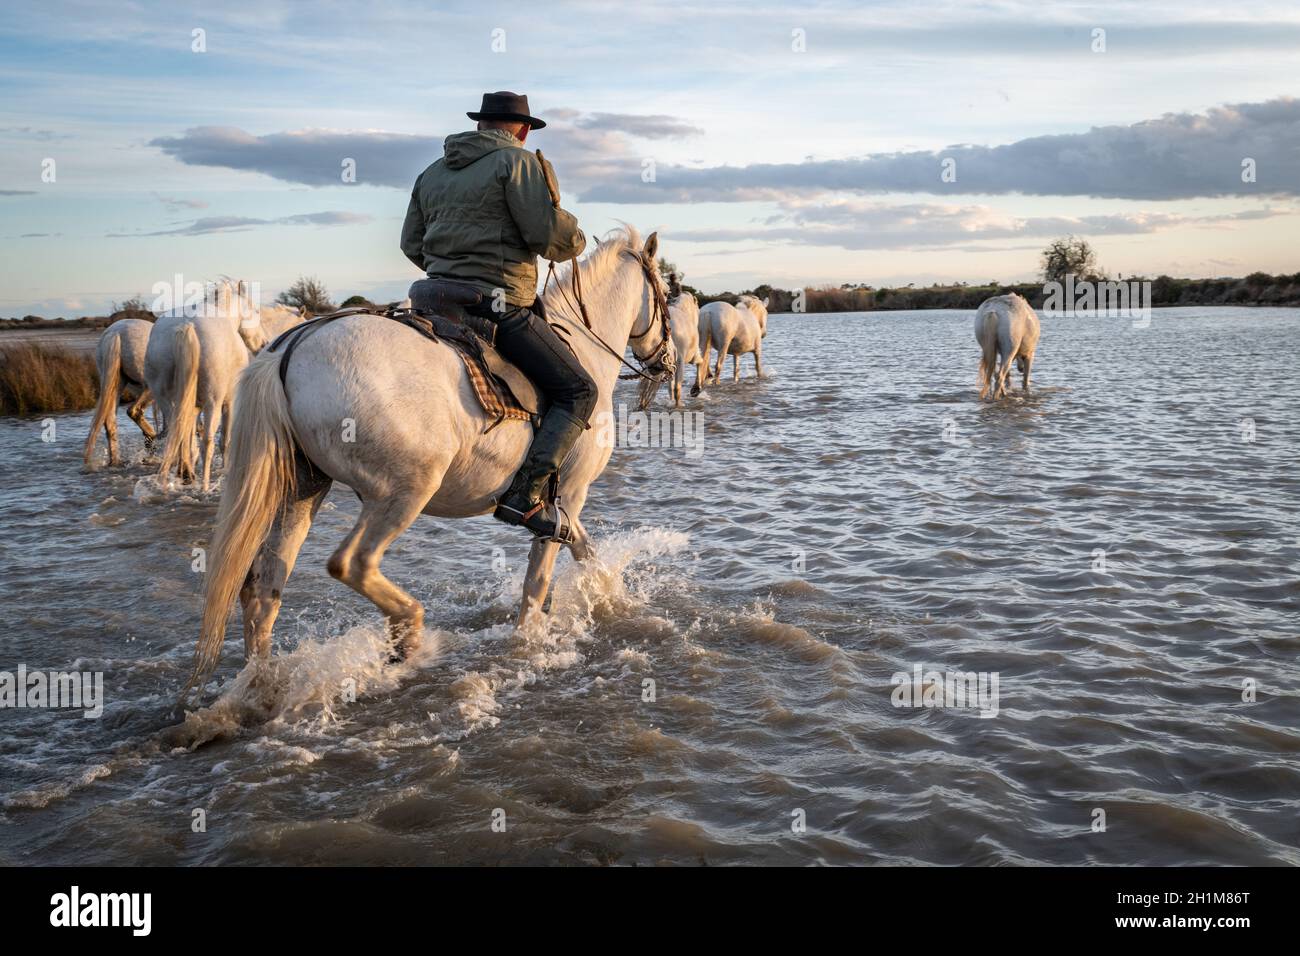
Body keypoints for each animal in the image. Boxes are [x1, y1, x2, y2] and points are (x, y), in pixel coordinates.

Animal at [185, 227, 674, 693]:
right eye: (667, 294)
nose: (666, 362)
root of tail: (293, 345)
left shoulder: (558, 506)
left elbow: (584, 551)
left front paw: (611, 599)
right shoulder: (570, 492)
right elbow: (539, 579)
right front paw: (529, 641)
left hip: (304, 490)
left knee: (263, 589)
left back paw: (262, 686)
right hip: (405, 490)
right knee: (351, 564)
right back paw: (409, 631)